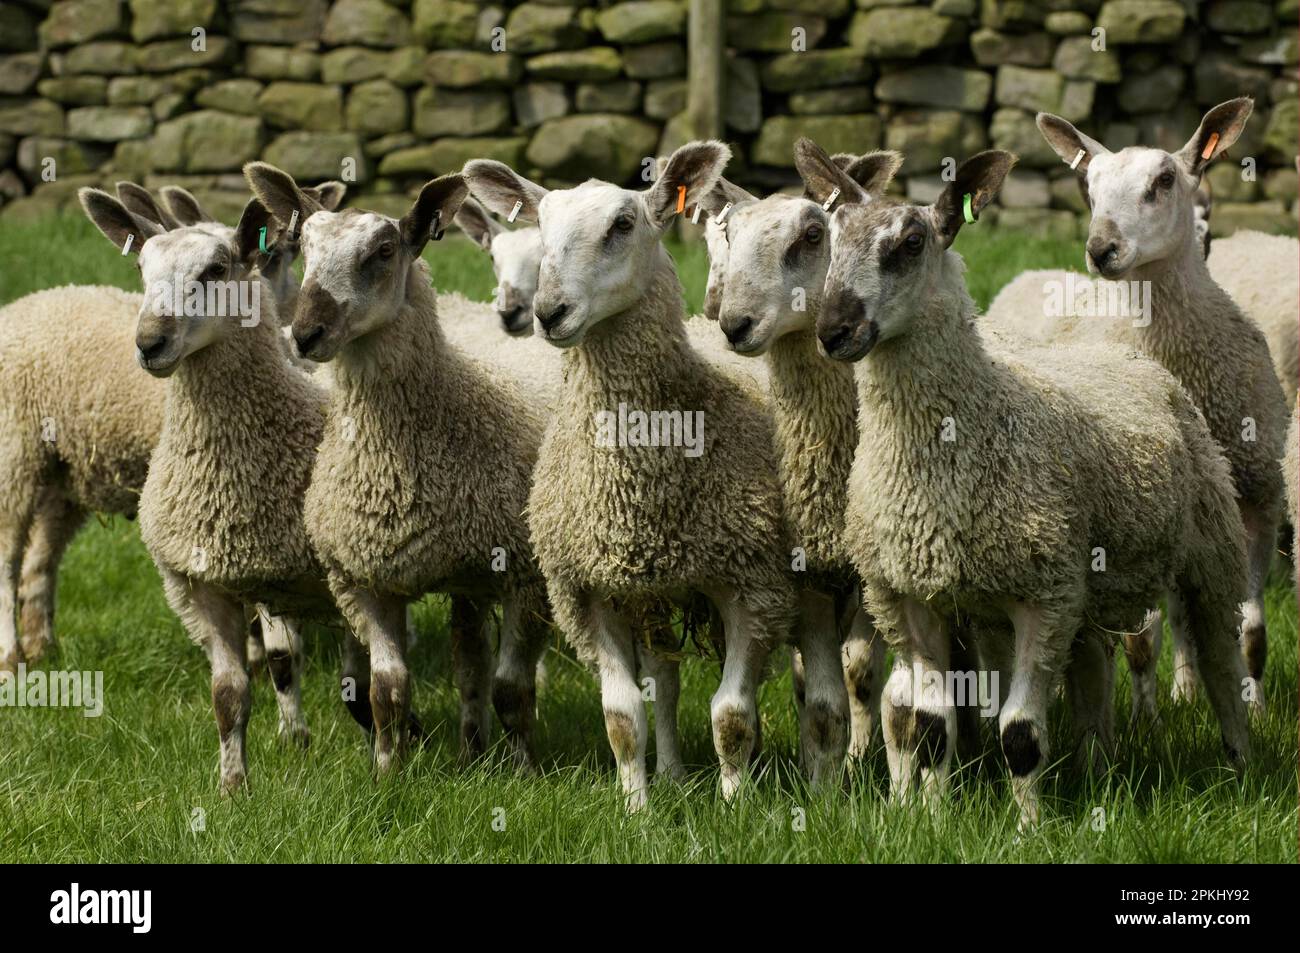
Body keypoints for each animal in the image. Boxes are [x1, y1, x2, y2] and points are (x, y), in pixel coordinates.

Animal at [244, 161, 554, 775]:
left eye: (384, 251)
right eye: (303, 247)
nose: (306, 333)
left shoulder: (524, 576)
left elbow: (513, 689)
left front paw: (528, 773)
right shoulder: (363, 581)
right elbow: (387, 689)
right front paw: (388, 770)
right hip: (465, 576)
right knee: (468, 657)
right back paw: (471, 746)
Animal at [461, 141, 807, 808]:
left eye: (623, 224)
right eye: (541, 224)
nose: (548, 312)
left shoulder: (754, 587)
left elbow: (732, 716)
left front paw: (736, 806)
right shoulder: (589, 590)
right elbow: (623, 716)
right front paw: (636, 807)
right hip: (644, 584)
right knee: (664, 680)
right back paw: (669, 774)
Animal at [799, 141, 1252, 826]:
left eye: (910, 244)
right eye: (829, 239)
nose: (833, 332)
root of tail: (1121, 352)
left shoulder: (1044, 595)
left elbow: (1019, 734)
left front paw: (1028, 829)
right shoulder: (911, 596)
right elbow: (930, 729)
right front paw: (932, 820)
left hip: (1210, 549)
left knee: (1223, 662)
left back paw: (1243, 764)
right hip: (1075, 586)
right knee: (1092, 668)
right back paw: (1099, 767)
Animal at [982, 100, 1287, 717]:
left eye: (1164, 181)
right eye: (1090, 186)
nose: (1101, 249)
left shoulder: (1260, 502)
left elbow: (1251, 633)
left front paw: (1257, 710)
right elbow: (1140, 641)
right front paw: (1147, 720)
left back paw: (1188, 689)